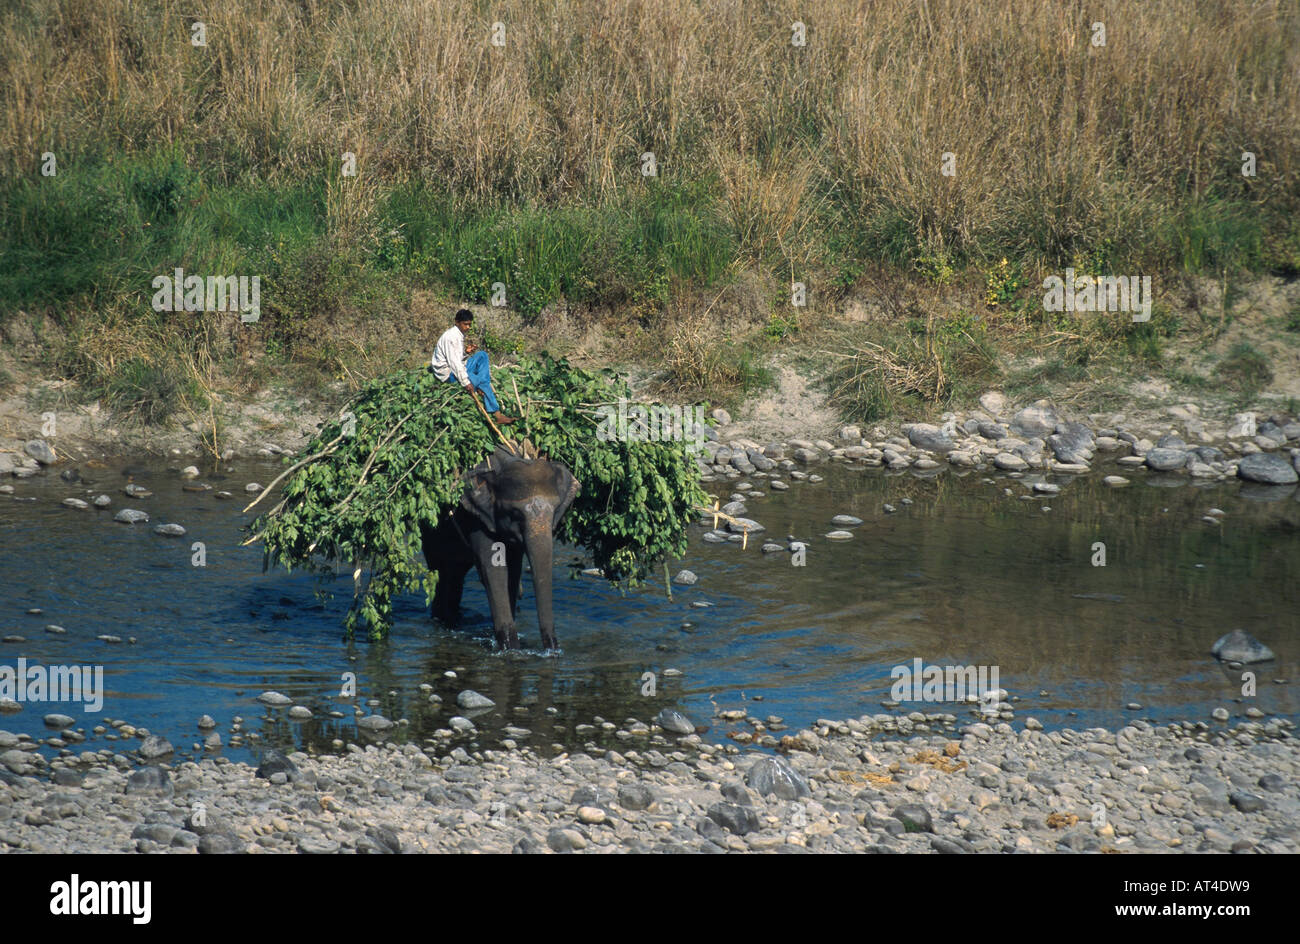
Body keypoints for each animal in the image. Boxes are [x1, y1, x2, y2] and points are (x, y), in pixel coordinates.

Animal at [419, 445, 580, 650]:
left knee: (456, 573)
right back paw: (442, 621)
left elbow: (513, 571)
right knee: (441, 570)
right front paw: (510, 648)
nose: (553, 649)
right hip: (430, 530)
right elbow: (493, 569)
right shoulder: (477, 517)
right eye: (515, 514)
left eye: (555, 510)